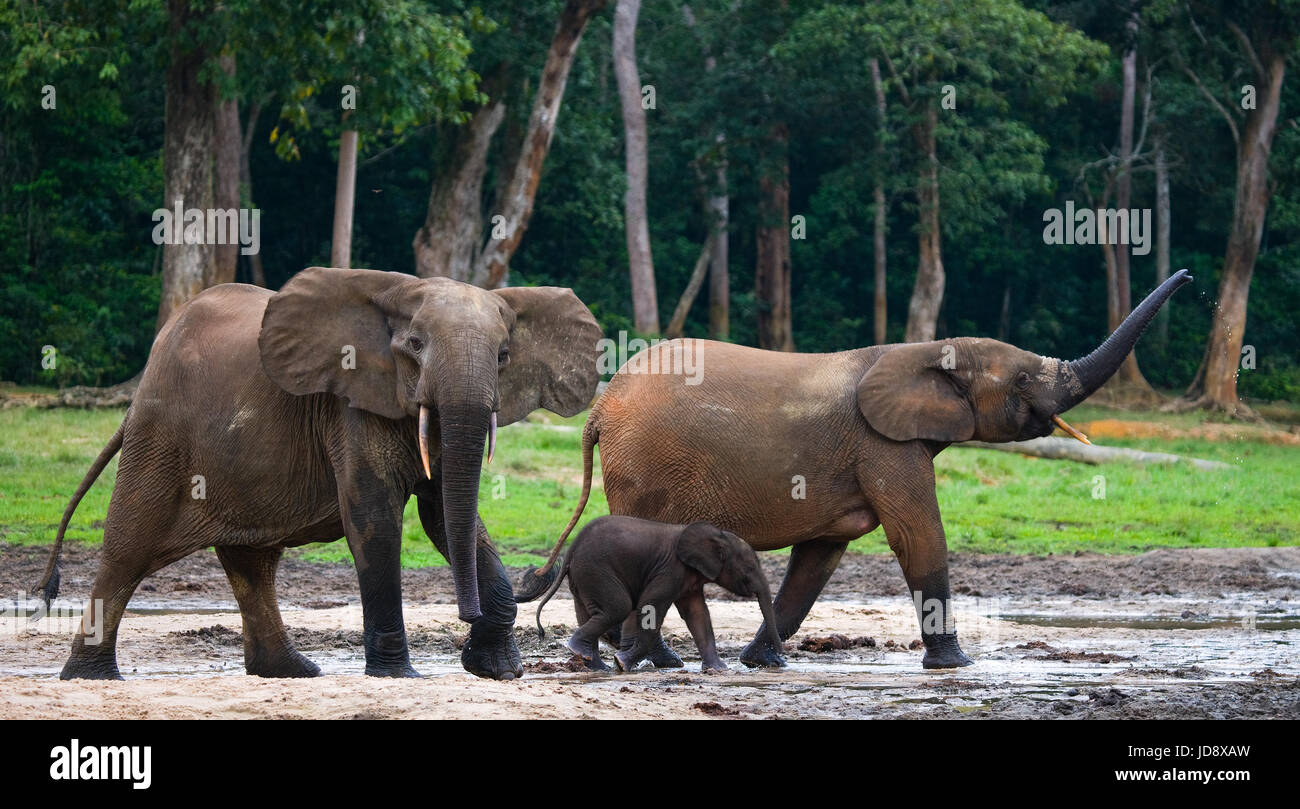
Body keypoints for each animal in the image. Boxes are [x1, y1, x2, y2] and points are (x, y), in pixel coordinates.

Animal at [35, 267, 602, 681]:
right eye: (415, 346)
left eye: (504, 356)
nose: (465, 617)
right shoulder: (349, 405)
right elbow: (375, 520)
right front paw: (398, 676)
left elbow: (446, 516)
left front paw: (498, 670)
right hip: (160, 437)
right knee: (129, 549)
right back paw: (90, 678)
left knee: (252, 563)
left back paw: (292, 672)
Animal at [532, 516, 783, 672]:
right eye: (749, 569)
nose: (781, 657)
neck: (717, 534)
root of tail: (570, 551)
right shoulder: (670, 570)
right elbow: (649, 607)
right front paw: (622, 664)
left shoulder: (689, 579)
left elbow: (698, 615)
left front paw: (719, 670)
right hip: (595, 569)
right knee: (619, 607)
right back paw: (586, 654)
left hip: (584, 577)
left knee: (588, 613)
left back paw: (595, 665)